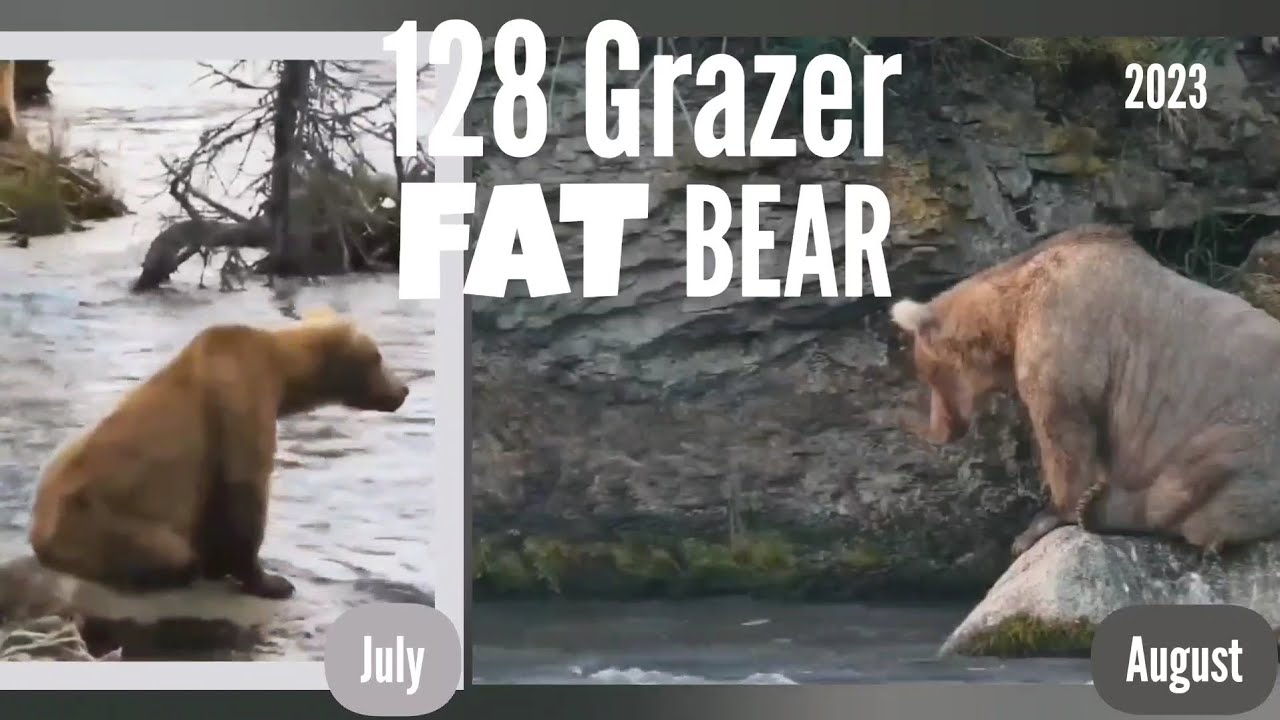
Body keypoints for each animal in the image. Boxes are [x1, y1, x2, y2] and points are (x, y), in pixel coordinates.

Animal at [27, 307, 411, 600]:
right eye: (379, 357)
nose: (403, 389)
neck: (283, 377)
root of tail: (38, 533)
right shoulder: (239, 399)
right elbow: (246, 487)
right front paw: (271, 581)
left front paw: (225, 566)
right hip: (98, 521)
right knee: (166, 551)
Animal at [890, 224, 1280, 559]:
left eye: (929, 376)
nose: (948, 425)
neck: (1010, 310)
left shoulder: (1065, 333)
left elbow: (1063, 431)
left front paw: (1039, 523)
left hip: (1241, 432)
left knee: (1188, 492)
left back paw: (1098, 507)